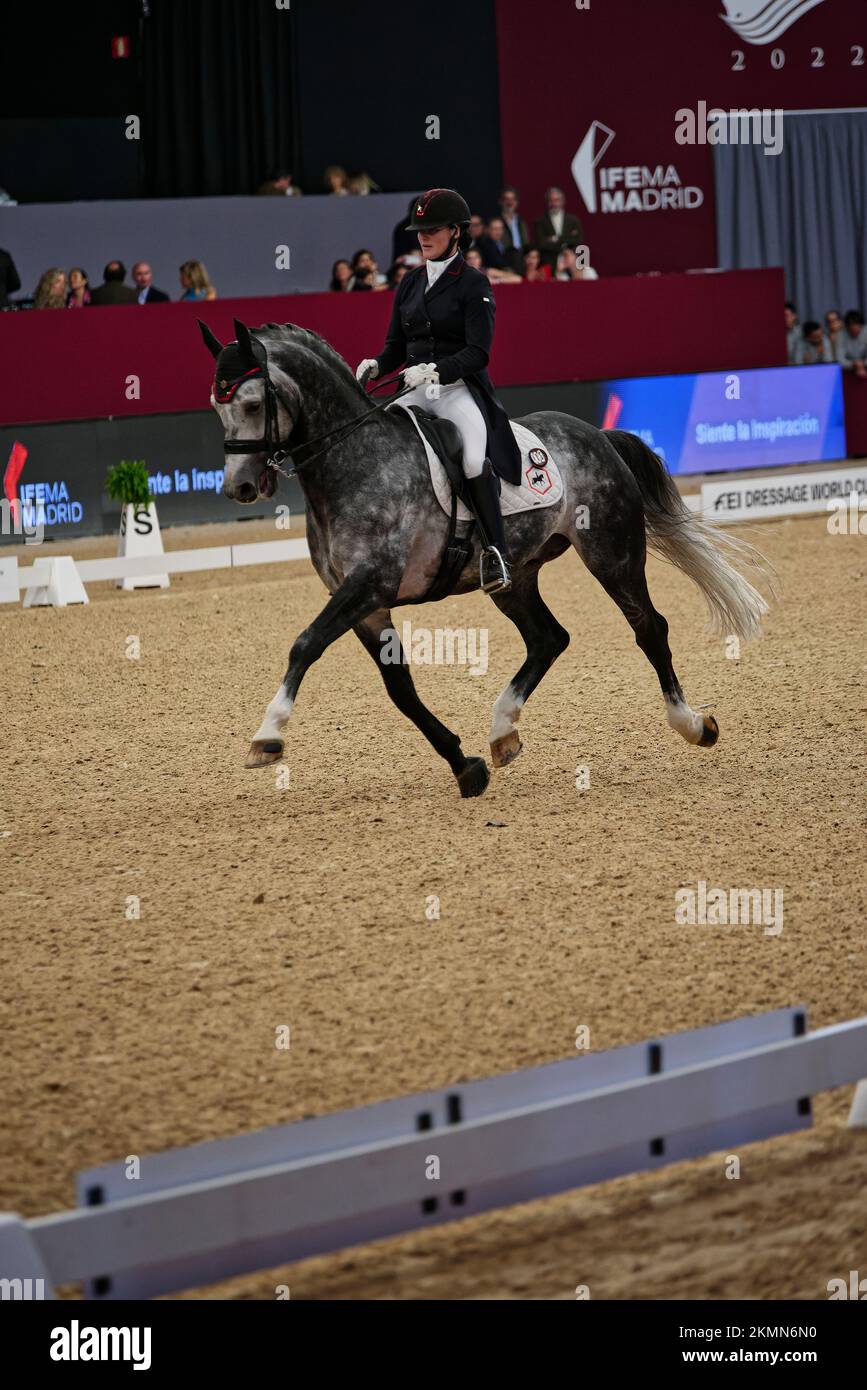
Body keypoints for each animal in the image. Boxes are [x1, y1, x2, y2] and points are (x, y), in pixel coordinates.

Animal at [200, 317, 770, 798]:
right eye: (216, 406)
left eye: (252, 404)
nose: (239, 488)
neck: (353, 463)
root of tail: (597, 435)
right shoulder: (368, 604)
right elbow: (400, 689)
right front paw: (465, 766)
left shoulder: (369, 583)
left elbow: (305, 644)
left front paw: (267, 736)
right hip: (516, 577)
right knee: (548, 639)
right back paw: (502, 732)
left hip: (612, 553)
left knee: (649, 627)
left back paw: (693, 724)